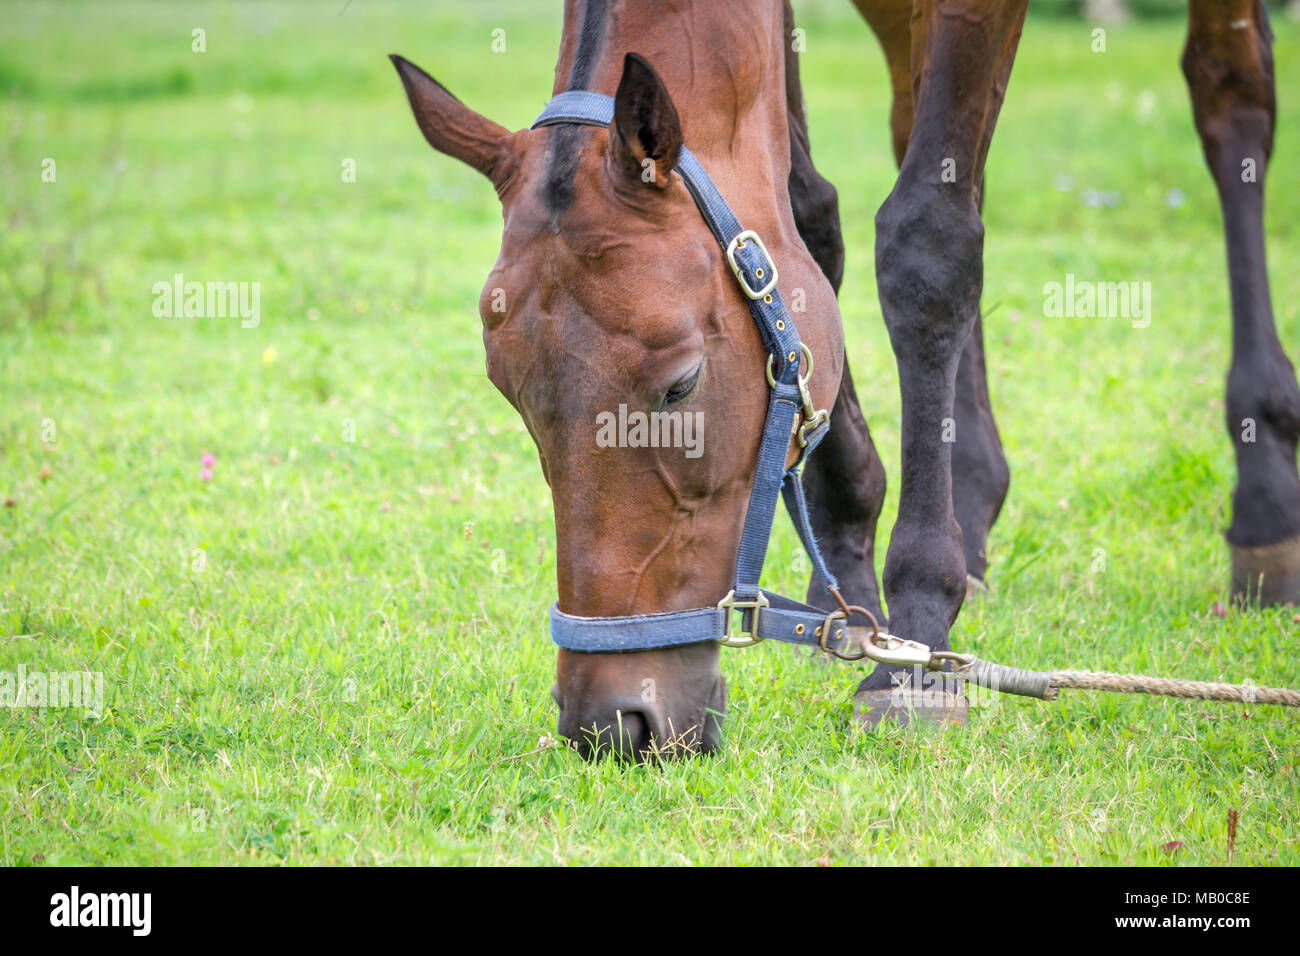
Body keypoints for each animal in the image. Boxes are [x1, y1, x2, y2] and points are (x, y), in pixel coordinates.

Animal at [392, 0, 1297, 759]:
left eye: (681, 386)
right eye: (514, 399)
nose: (615, 723)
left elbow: (928, 241)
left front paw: (916, 640)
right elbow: (807, 219)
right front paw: (850, 574)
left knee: (1231, 103)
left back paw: (1263, 498)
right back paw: (973, 498)